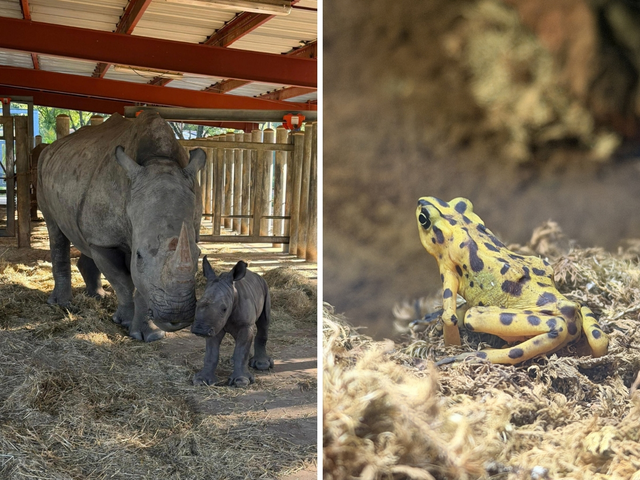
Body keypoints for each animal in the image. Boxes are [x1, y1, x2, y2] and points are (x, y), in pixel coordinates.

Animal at [38, 112, 206, 342]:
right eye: (139, 255)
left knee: (84, 239)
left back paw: (98, 296)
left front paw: (149, 335)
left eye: (199, 254)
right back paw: (62, 304)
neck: (159, 161)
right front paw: (125, 322)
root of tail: (50, 148)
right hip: (43, 172)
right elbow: (124, 282)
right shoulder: (106, 243)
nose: (177, 318)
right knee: (55, 230)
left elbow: (140, 284)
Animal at [191, 257, 273, 387]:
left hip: (265, 288)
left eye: (224, 309)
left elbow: (242, 350)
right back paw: (232, 361)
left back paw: (262, 365)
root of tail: (257, 275)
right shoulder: (213, 325)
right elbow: (211, 353)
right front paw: (201, 380)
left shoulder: (245, 325)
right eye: (197, 303)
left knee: (264, 322)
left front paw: (241, 381)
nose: (199, 330)